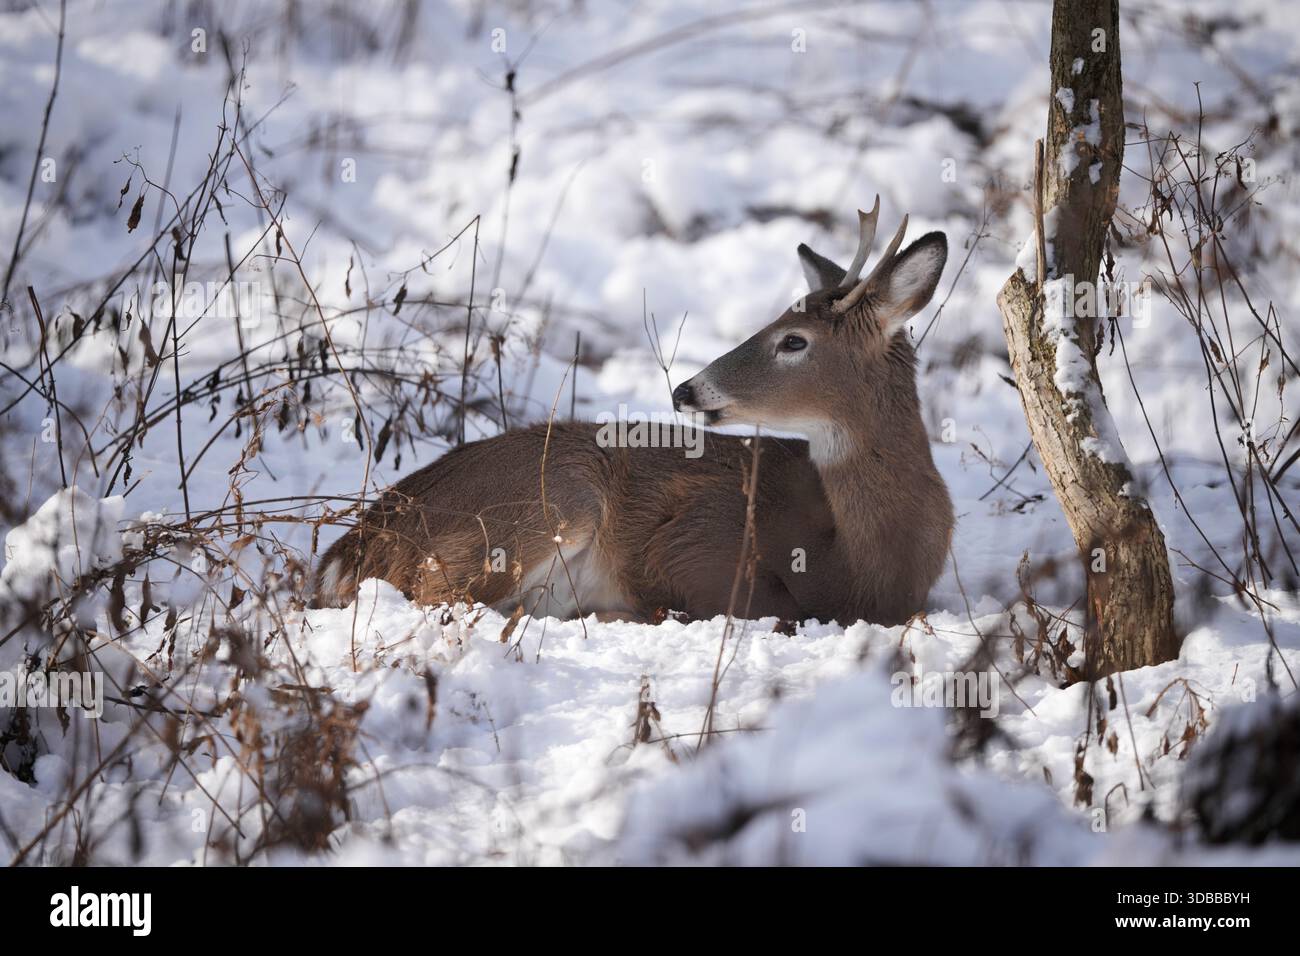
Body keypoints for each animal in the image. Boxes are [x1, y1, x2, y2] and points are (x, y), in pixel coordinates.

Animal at [313, 199, 954, 627]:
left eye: (794, 340)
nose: (686, 391)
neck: (857, 564)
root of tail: (351, 547)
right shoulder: (697, 545)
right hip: (549, 501)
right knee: (438, 597)